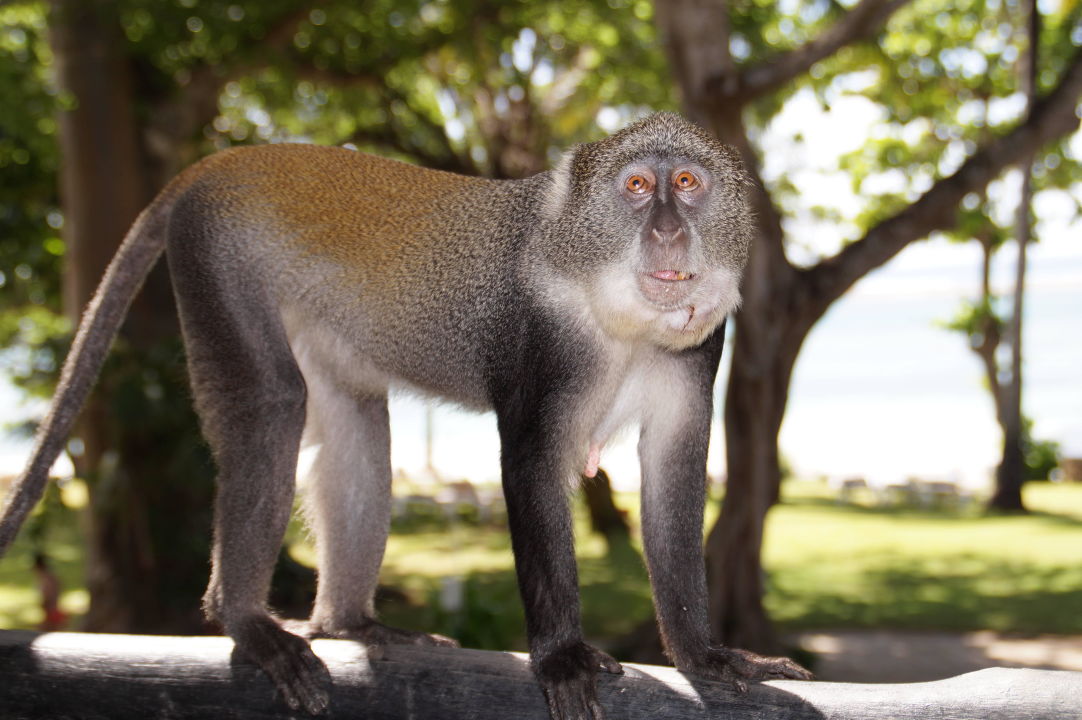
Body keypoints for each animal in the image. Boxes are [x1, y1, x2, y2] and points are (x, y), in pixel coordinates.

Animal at [0, 112, 811, 719]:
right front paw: (560, 657)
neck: (614, 307)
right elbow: (531, 465)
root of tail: (215, 166)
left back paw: (348, 622)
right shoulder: (543, 338)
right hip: (214, 261)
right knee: (272, 406)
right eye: (638, 187)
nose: (669, 230)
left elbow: (673, 472)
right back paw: (246, 620)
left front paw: (707, 655)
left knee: (357, 417)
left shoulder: (700, 344)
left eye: (689, 185)